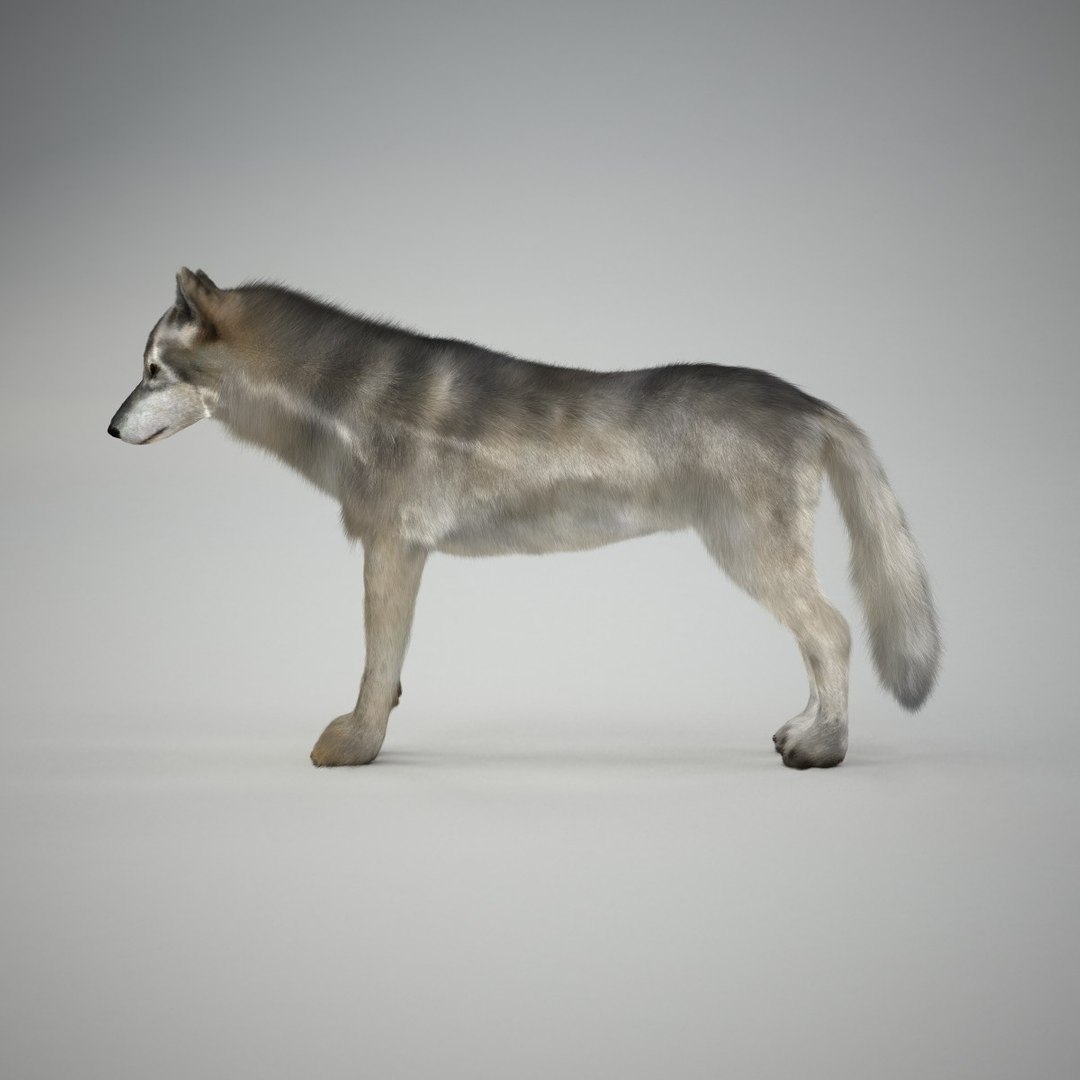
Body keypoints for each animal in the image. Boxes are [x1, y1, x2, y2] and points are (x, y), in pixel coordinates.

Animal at [109, 268, 940, 769]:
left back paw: (822, 747)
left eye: (152, 370)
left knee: (832, 633)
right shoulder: (402, 553)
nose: (110, 431)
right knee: (818, 640)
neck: (345, 401)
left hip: (751, 554)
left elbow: (375, 664)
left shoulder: (392, 545)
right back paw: (801, 728)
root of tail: (812, 402)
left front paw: (358, 743)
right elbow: (391, 667)